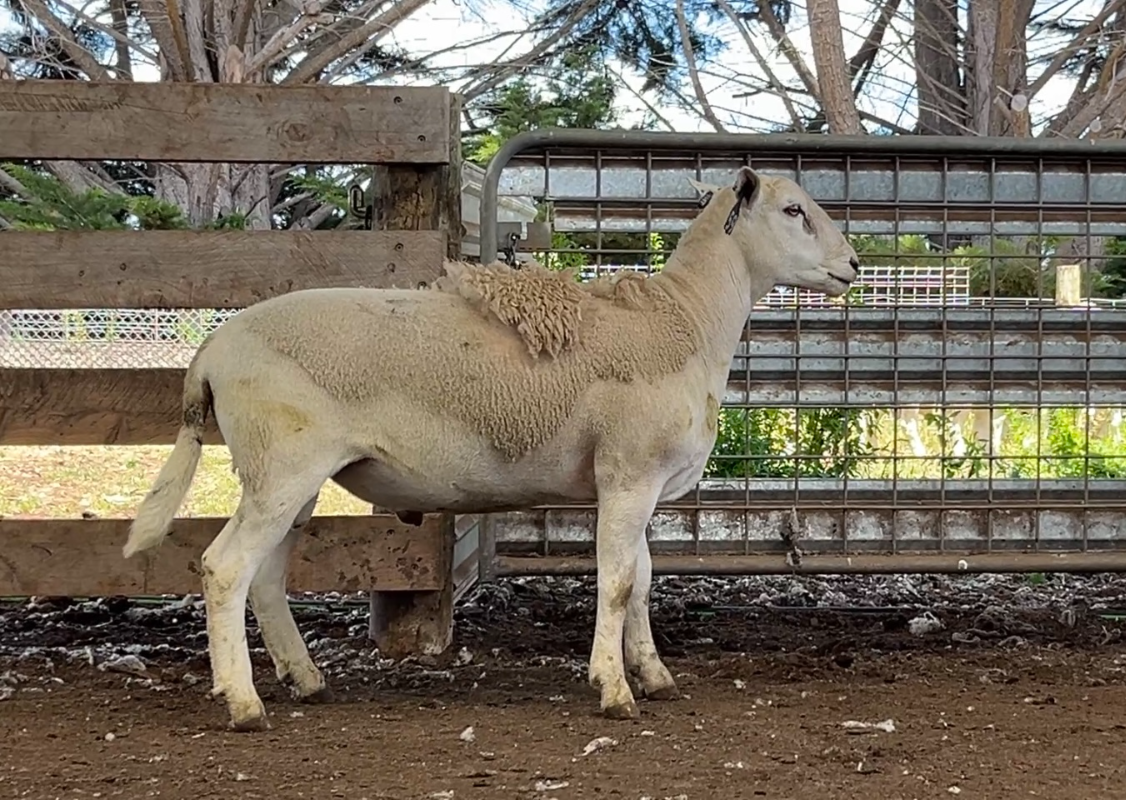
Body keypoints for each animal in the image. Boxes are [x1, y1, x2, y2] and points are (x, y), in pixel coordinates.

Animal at [122, 165, 860, 732]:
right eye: (793, 209)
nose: (853, 265)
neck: (683, 323)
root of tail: (211, 351)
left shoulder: (636, 482)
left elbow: (642, 581)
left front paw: (653, 675)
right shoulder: (627, 473)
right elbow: (618, 582)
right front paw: (613, 689)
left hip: (287, 476)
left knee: (267, 576)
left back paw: (305, 679)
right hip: (283, 464)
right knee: (224, 569)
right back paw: (244, 704)